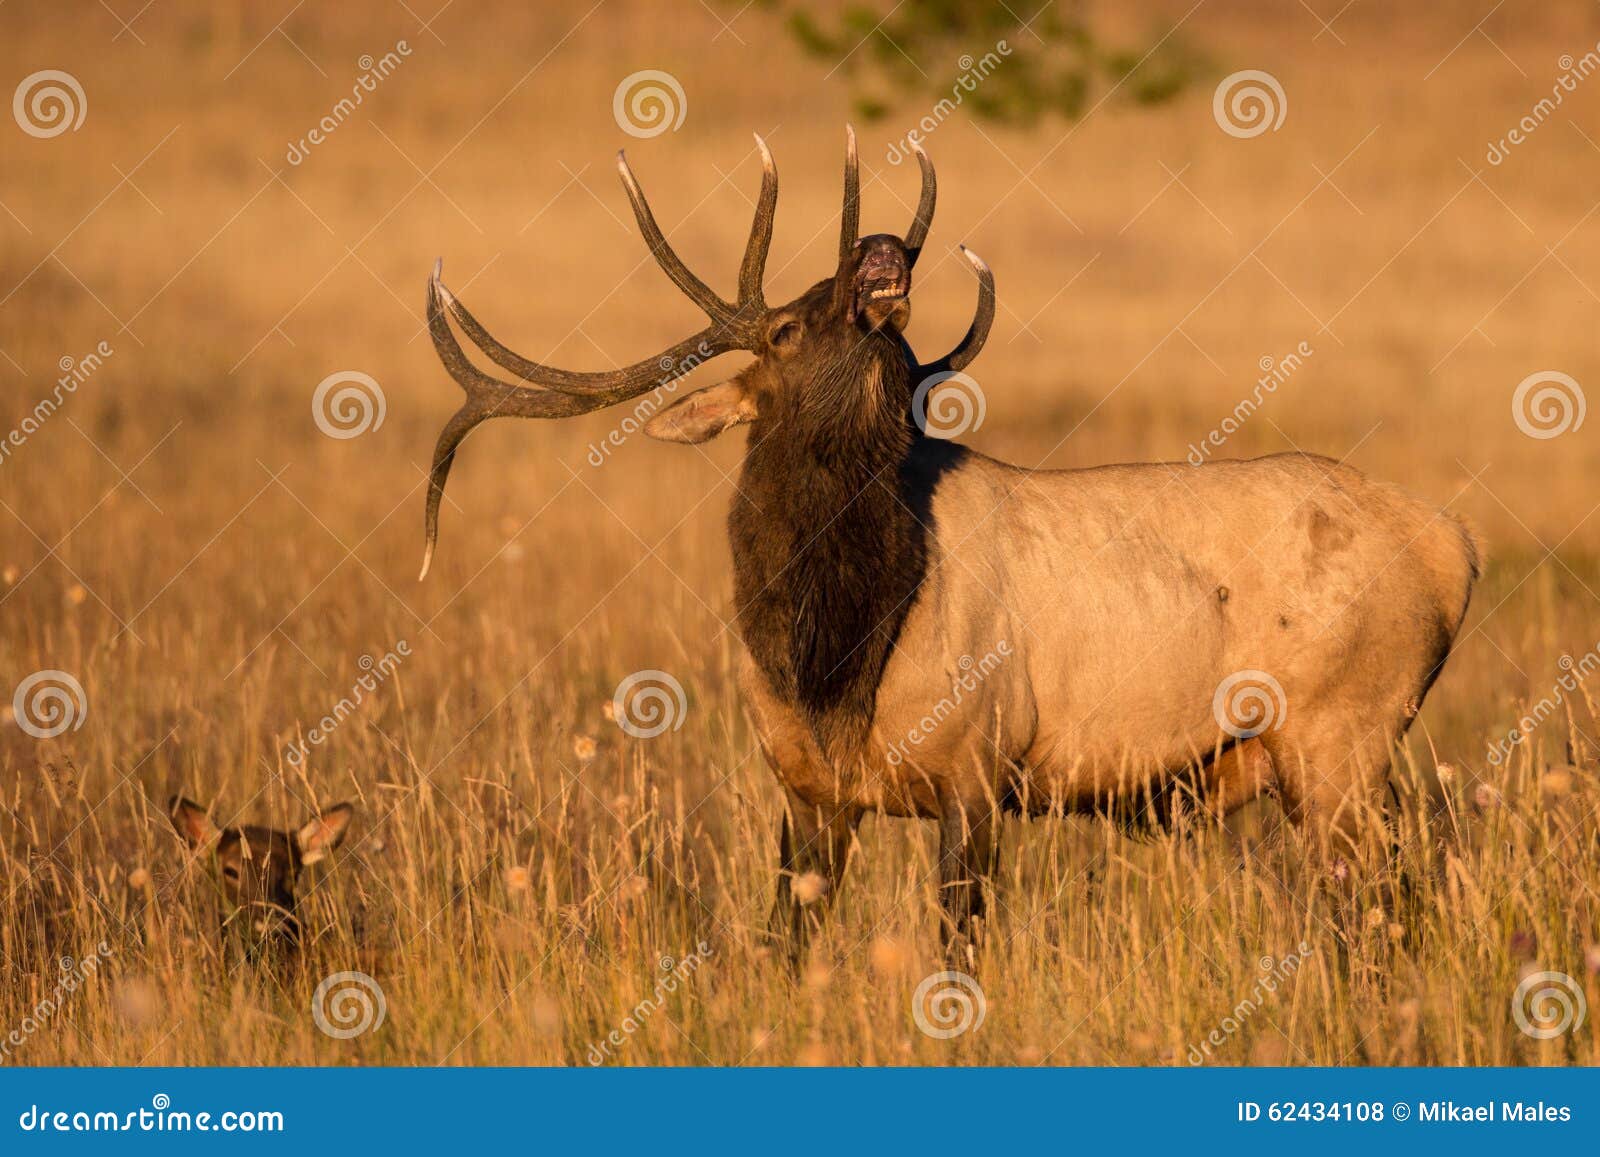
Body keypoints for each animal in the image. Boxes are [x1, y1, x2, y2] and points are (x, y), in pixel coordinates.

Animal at [417, 131, 1481, 964]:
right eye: (787, 326)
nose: (880, 246)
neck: (833, 661)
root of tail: (1456, 544)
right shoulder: (805, 789)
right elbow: (784, 944)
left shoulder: (980, 764)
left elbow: (957, 949)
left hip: (1343, 734)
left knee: (1391, 900)